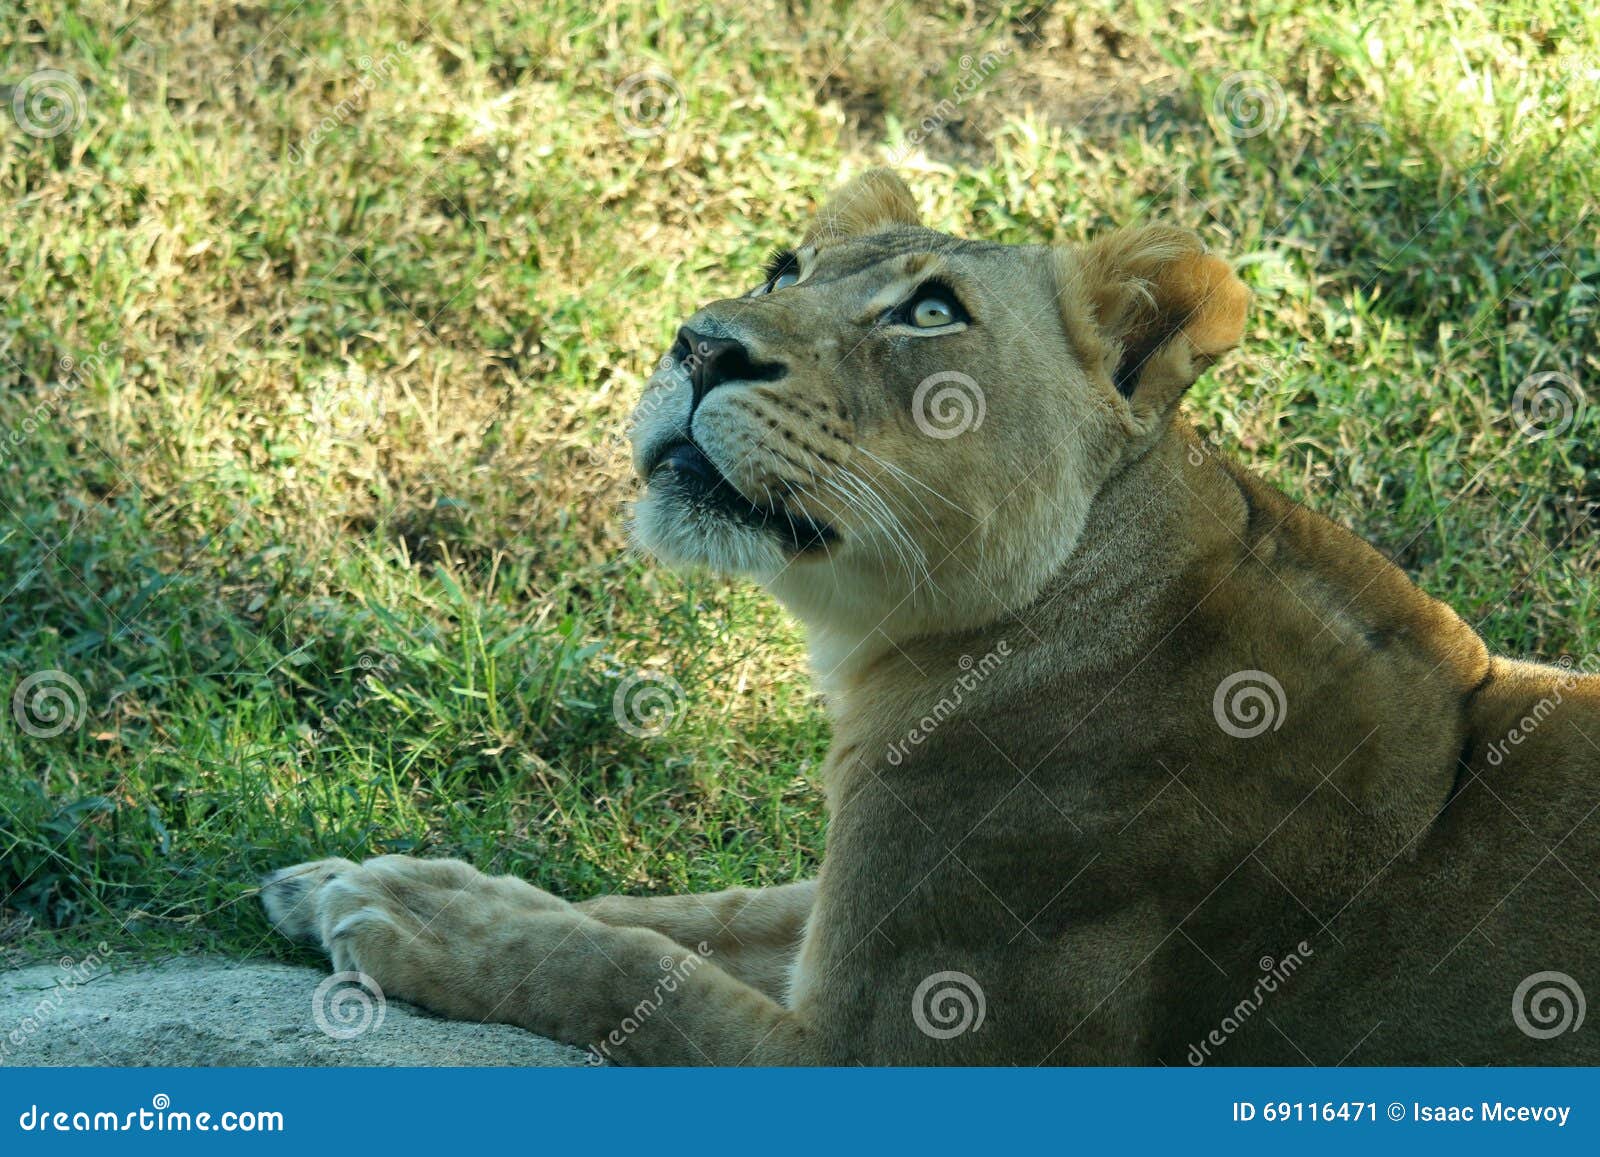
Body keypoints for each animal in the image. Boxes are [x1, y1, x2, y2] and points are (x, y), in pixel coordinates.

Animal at [263, 169, 1598, 1064]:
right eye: (784, 268)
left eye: (929, 313)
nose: (698, 344)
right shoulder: (840, 908)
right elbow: (691, 910)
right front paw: (361, 873)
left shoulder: (888, 1053)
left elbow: (633, 965)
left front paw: (415, 917)